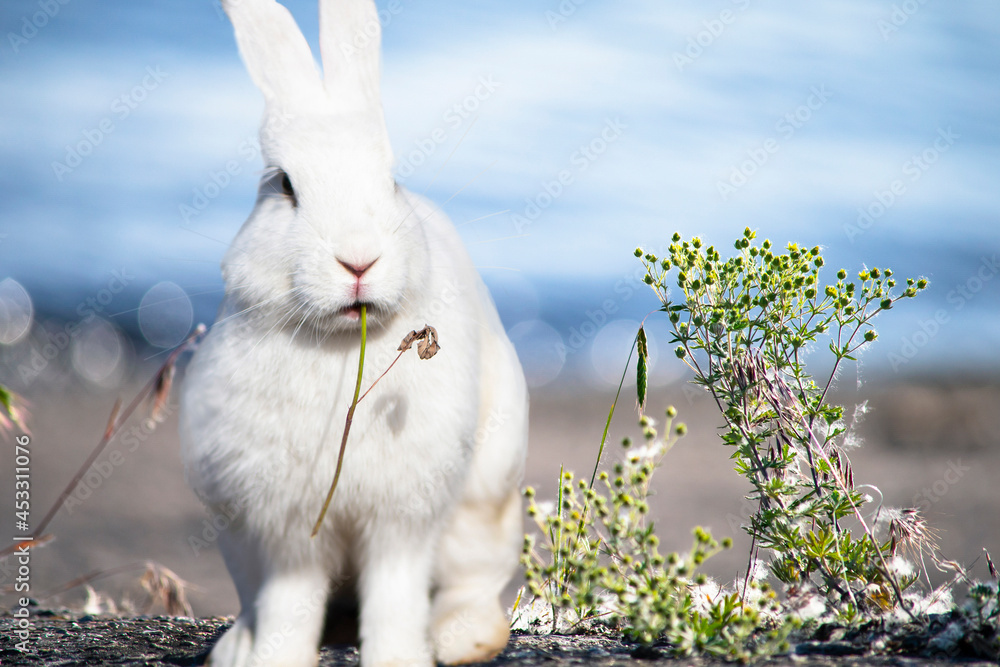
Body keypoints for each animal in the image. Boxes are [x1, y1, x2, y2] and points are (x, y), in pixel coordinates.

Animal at [178, 1, 529, 665]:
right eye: (284, 186)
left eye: (391, 180)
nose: (358, 260)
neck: (342, 344)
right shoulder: (285, 535)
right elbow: (290, 604)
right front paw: (276, 657)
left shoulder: (402, 524)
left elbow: (394, 597)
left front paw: (399, 656)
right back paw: (238, 646)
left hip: (485, 503)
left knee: (473, 582)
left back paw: (461, 639)